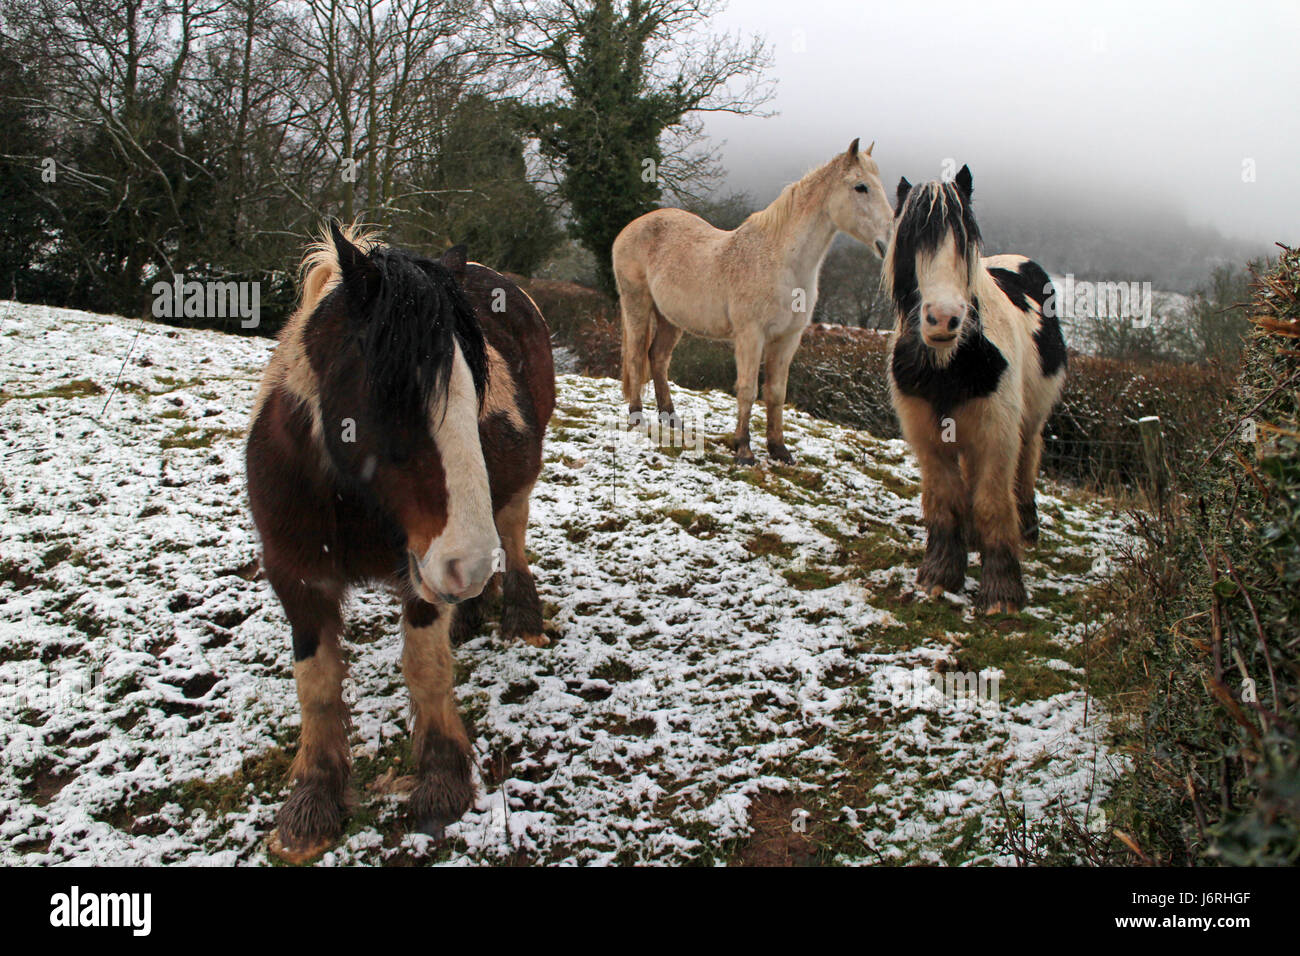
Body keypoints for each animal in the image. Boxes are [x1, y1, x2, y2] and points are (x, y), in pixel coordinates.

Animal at [245, 222, 555, 861]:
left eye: (476, 384)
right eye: (391, 393)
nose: (468, 564)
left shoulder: (422, 570)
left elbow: (425, 669)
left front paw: (440, 782)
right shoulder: (295, 577)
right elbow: (316, 685)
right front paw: (311, 805)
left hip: (514, 494)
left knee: (513, 538)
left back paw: (520, 616)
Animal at [612, 138, 895, 464]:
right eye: (861, 187)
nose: (889, 240)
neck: (779, 260)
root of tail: (630, 228)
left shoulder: (787, 339)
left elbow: (776, 393)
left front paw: (779, 449)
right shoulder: (751, 335)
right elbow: (748, 389)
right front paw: (744, 450)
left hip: (670, 319)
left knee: (657, 359)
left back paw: (671, 418)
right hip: (637, 304)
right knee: (636, 356)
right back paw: (636, 417)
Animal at [883, 165, 1066, 614]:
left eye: (964, 240)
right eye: (909, 241)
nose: (943, 319)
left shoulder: (996, 434)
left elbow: (991, 503)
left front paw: (1002, 592)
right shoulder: (928, 436)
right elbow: (946, 501)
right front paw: (940, 574)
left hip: (1029, 422)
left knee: (1025, 467)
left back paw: (1027, 528)